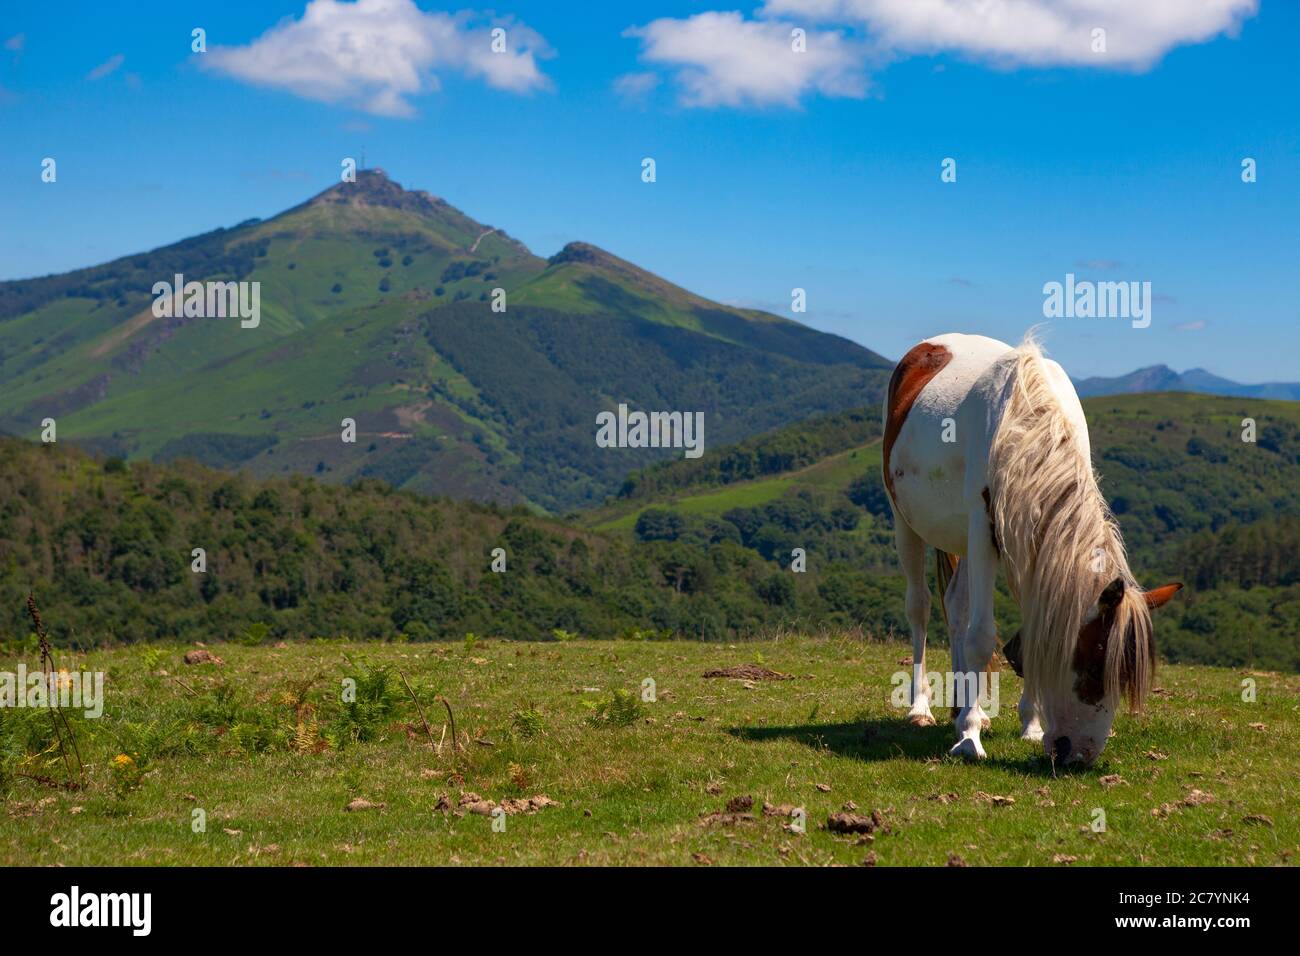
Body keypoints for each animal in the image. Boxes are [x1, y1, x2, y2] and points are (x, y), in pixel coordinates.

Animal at [882, 332, 1181, 765]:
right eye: (1093, 669)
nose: (1078, 755)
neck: (1026, 427)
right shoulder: (984, 529)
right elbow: (980, 636)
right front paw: (970, 739)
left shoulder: (1030, 539)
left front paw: (1028, 724)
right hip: (905, 522)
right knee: (920, 606)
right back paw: (922, 708)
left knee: (955, 604)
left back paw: (964, 707)